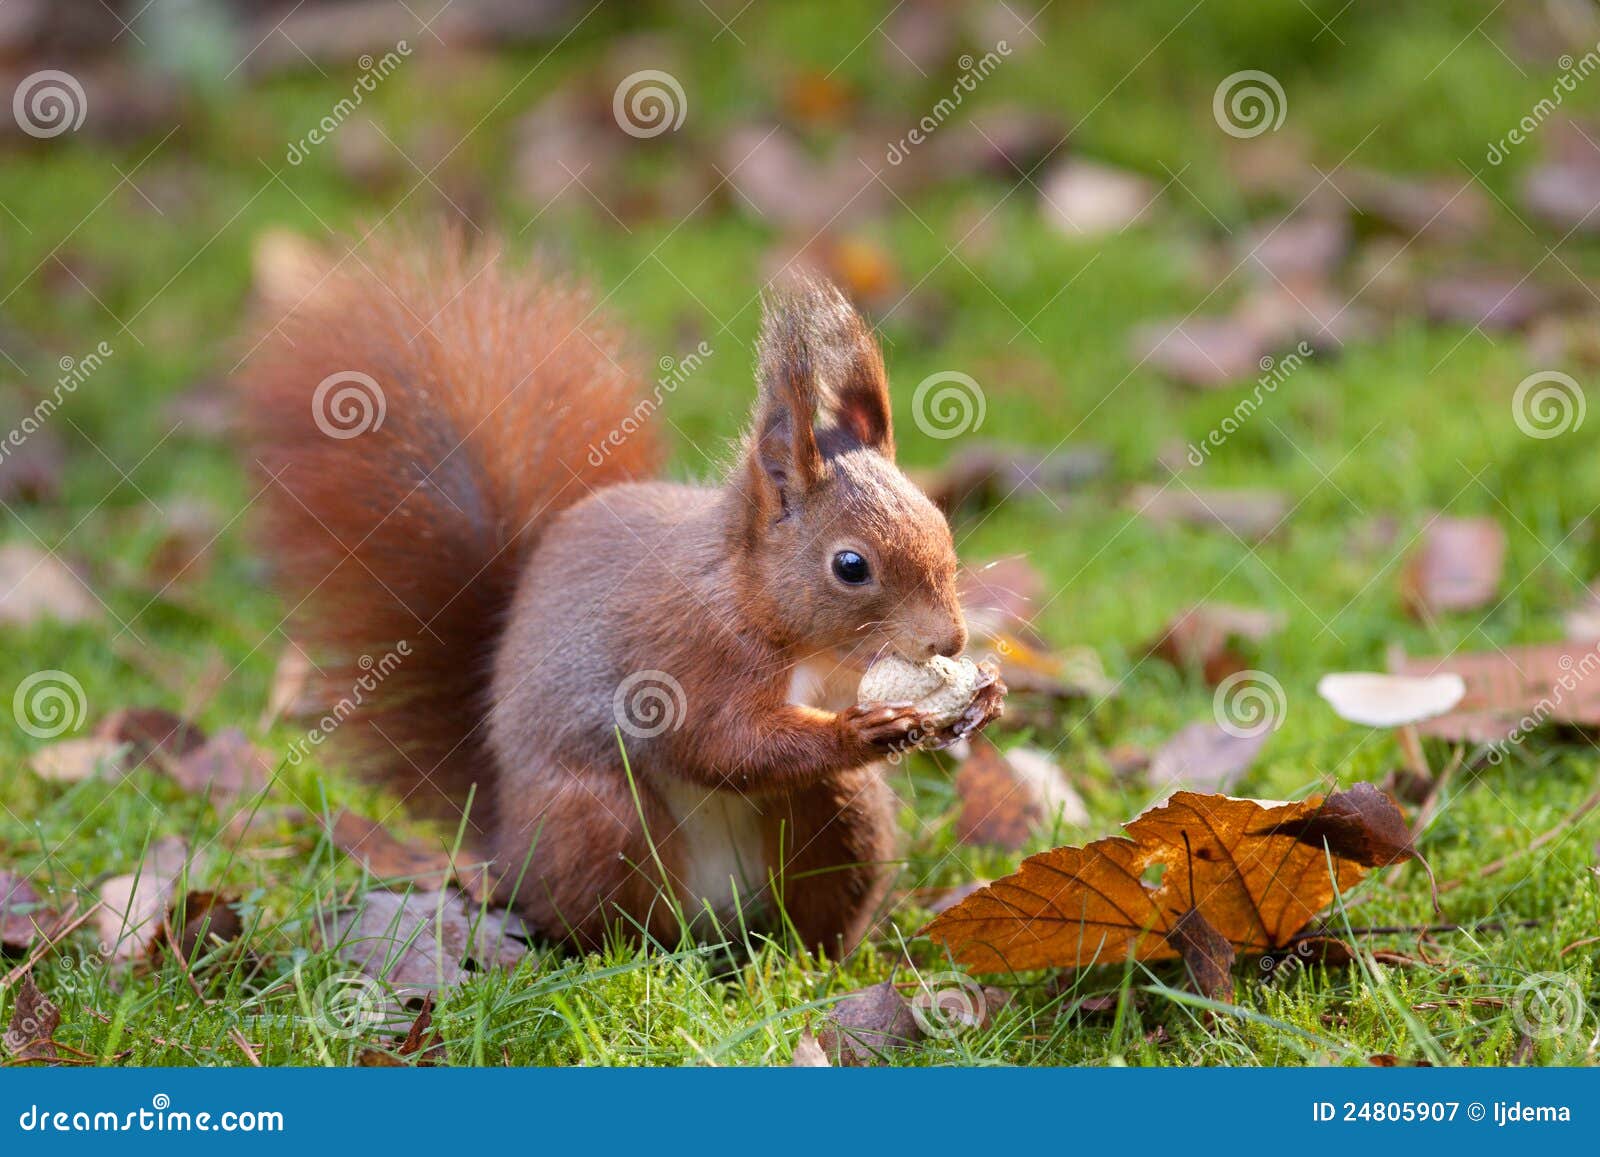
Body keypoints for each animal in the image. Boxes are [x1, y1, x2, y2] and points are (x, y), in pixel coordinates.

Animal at [239, 236, 993, 955]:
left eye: (941, 528)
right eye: (850, 565)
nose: (949, 639)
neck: (767, 613)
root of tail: (506, 840)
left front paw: (982, 701)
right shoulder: (688, 653)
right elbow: (722, 744)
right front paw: (858, 730)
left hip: (841, 818)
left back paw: (811, 959)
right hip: (601, 819)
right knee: (612, 918)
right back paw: (632, 954)